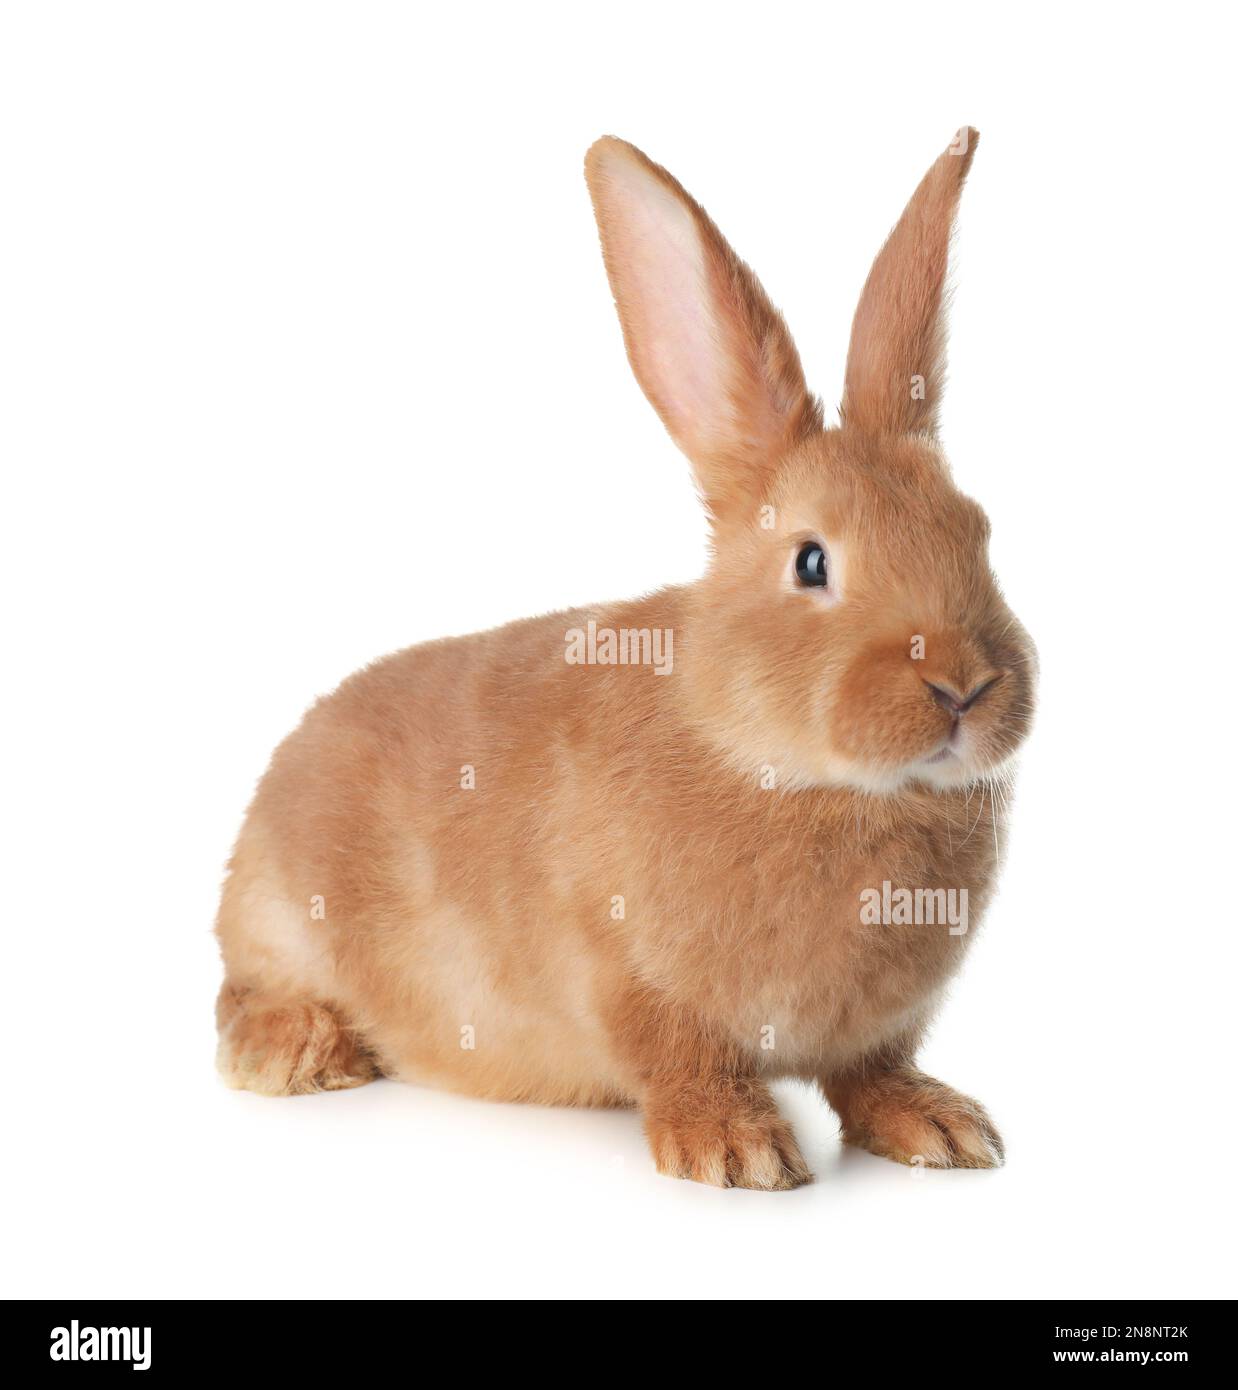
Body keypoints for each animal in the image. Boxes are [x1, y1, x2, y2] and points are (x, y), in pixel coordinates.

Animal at [215, 127, 1035, 1189]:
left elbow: (872, 1073)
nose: (966, 686)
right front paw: (735, 1150)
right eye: (811, 561)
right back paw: (304, 1053)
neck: (773, 756)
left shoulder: (881, 1028)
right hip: (277, 924)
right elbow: (679, 1057)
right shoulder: (623, 974)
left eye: (978, 533)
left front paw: (940, 1128)